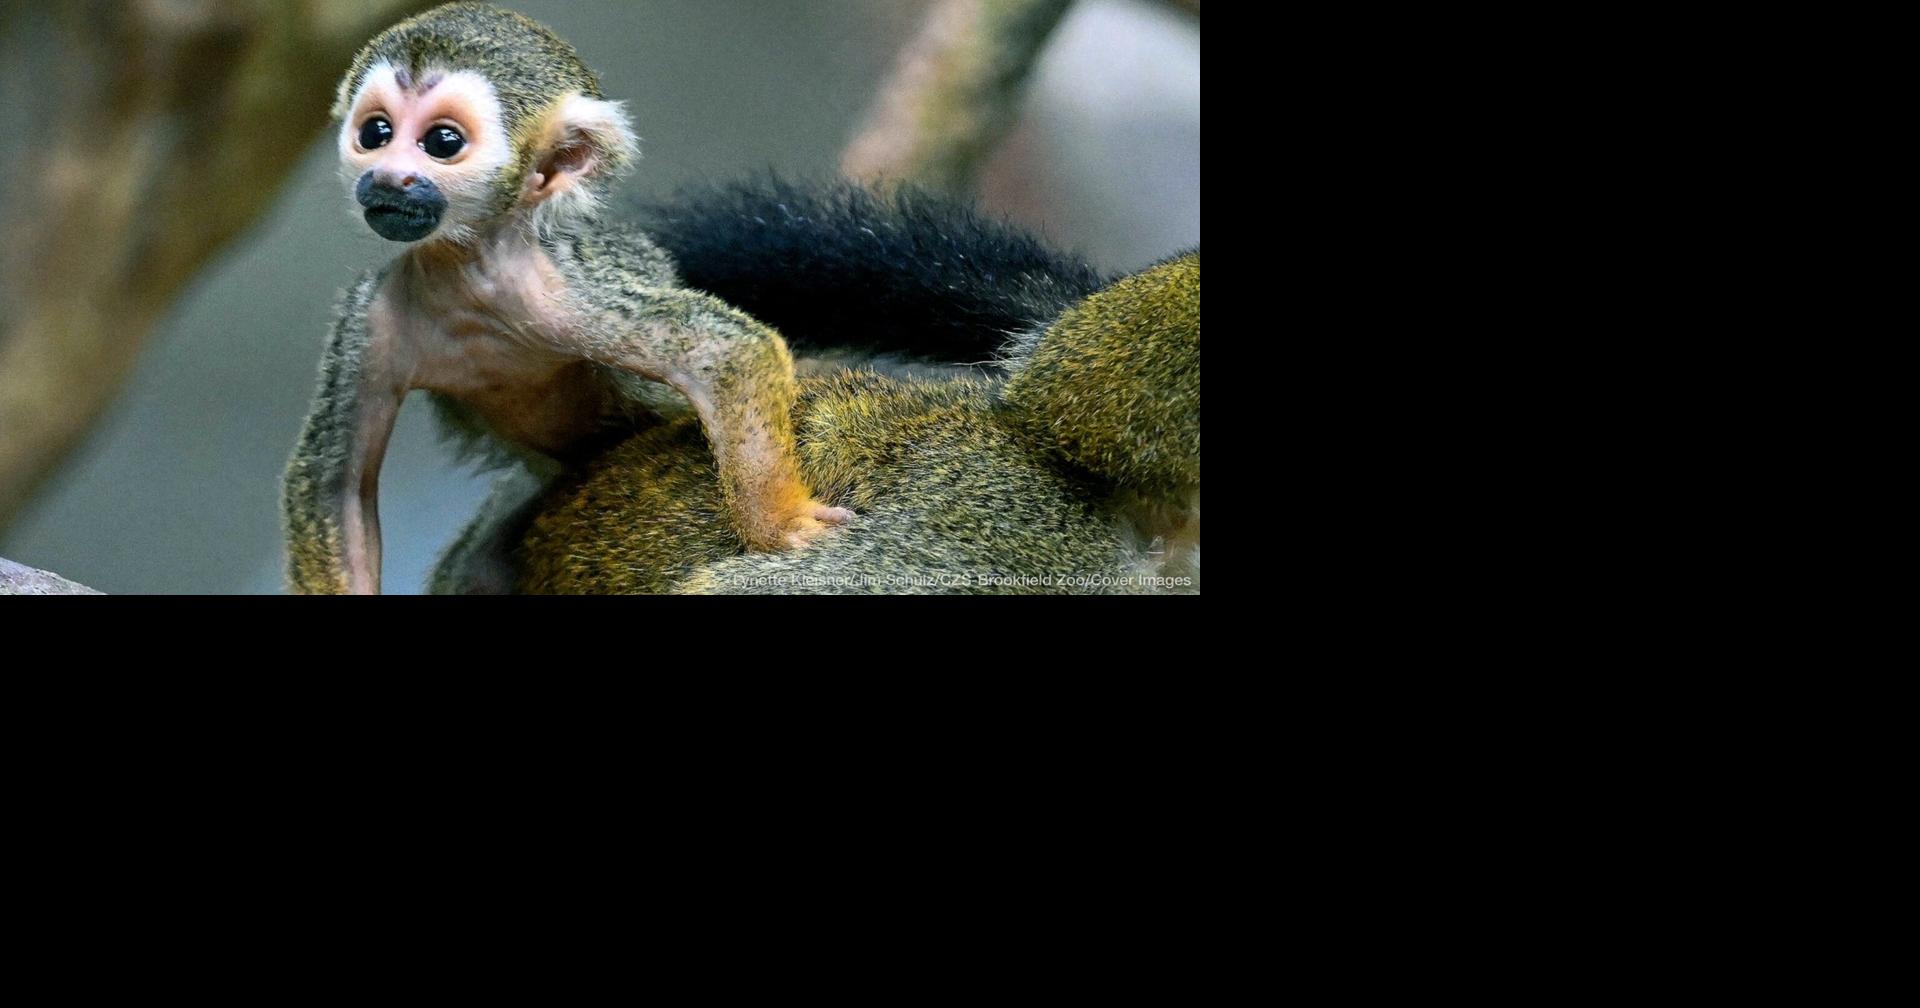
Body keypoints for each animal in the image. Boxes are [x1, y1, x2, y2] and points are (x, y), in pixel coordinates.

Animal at [280, 2, 851, 594]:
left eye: (442, 143)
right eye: (376, 132)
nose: (389, 178)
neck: (466, 276)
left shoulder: (562, 287)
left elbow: (726, 351)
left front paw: (780, 527)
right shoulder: (367, 316)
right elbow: (338, 489)